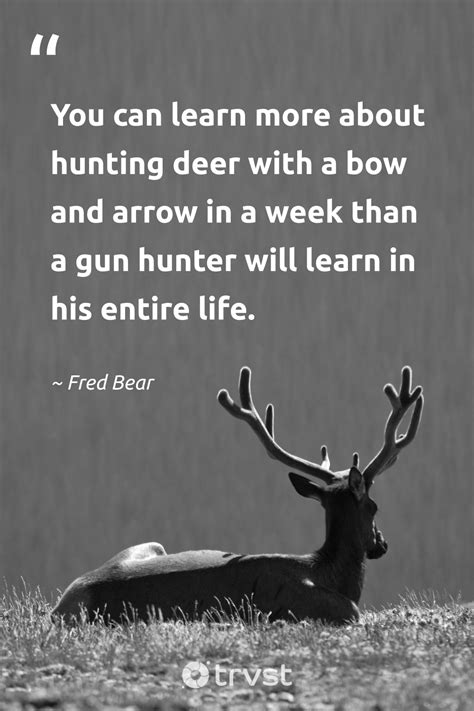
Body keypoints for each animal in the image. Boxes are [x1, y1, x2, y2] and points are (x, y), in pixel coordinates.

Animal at [52, 366, 423, 625]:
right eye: (374, 506)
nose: (382, 545)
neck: (326, 572)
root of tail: (60, 607)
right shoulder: (336, 608)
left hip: (149, 544)